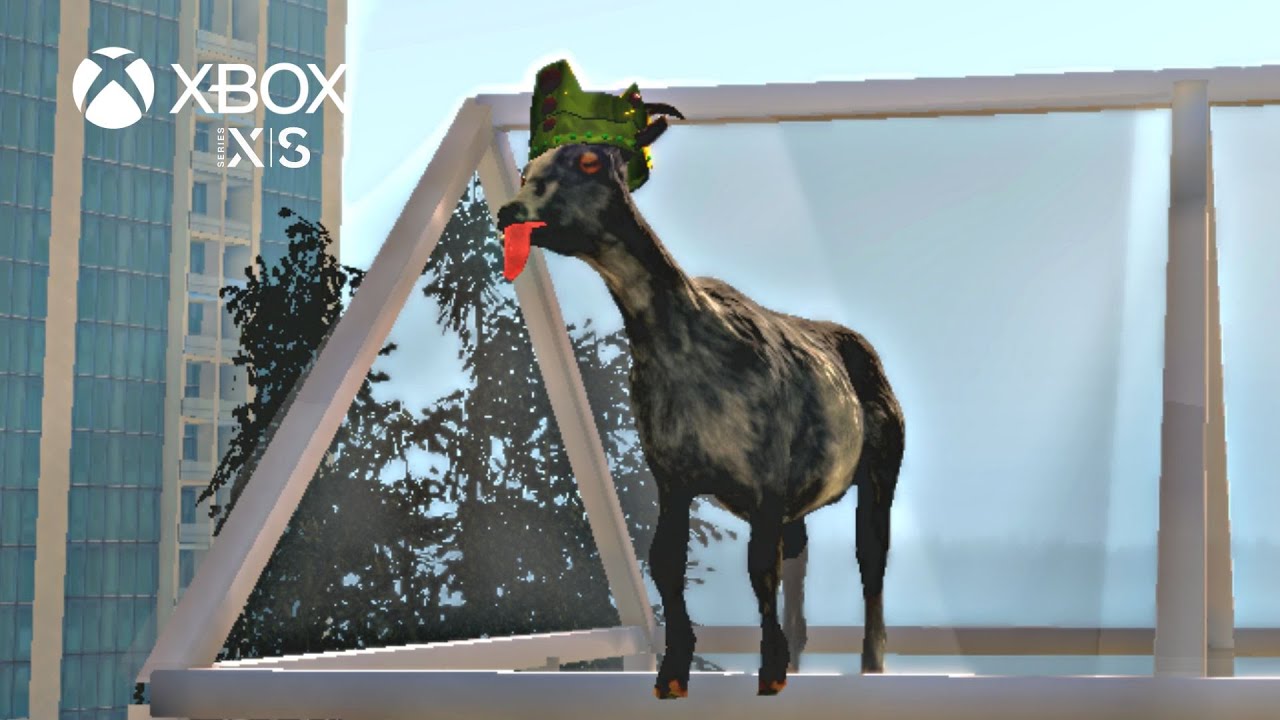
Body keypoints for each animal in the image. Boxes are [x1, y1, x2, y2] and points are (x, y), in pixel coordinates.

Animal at [496, 131, 905, 699]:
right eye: (526, 171)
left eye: (590, 161)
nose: (510, 212)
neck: (688, 343)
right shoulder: (672, 475)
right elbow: (666, 560)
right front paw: (672, 673)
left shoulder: (765, 477)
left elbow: (759, 567)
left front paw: (769, 673)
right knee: (799, 553)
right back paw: (801, 661)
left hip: (881, 464)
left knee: (871, 556)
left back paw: (869, 667)